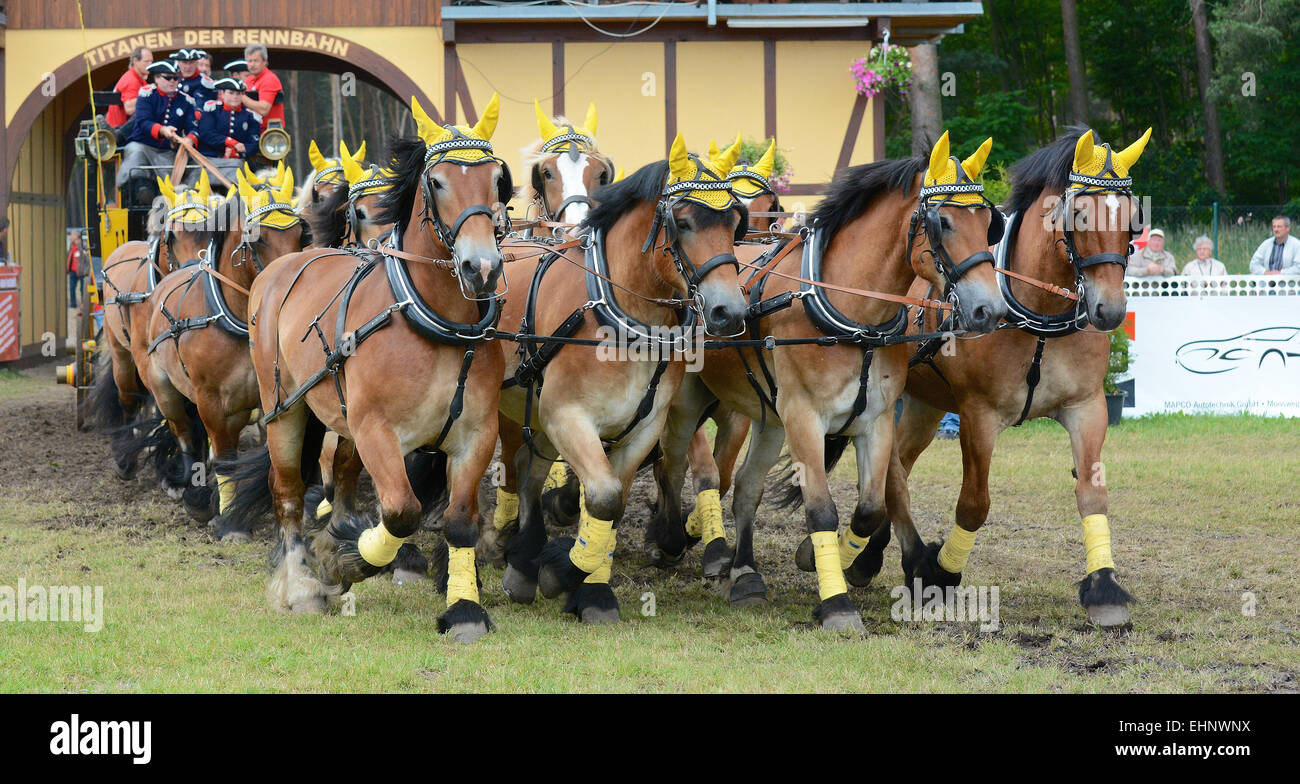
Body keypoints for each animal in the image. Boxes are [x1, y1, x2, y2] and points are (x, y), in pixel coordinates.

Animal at [139, 168, 307, 537]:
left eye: (301, 233)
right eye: (257, 238)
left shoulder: (267, 398)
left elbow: (273, 457)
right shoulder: (209, 399)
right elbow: (225, 457)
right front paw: (228, 519)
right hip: (164, 388)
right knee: (185, 435)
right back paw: (194, 491)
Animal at [227, 95, 510, 643]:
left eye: (496, 178)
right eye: (437, 181)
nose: (482, 268)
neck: (433, 318)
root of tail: (281, 269)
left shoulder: (477, 432)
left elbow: (459, 520)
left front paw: (464, 609)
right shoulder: (377, 428)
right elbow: (402, 511)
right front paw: (346, 560)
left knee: (338, 482)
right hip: (284, 411)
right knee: (288, 494)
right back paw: (302, 586)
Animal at [490, 133, 749, 624]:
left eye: (733, 223)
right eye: (683, 222)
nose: (731, 311)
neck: (624, 319)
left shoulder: (644, 426)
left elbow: (614, 502)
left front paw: (592, 590)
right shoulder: (566, 415)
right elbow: (606, 496)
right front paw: (563, 573)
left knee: (531, 469)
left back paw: (523, 561)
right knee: (514, 468)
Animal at [653, 132, 1009, 631]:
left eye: (988, 223)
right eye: (943, 222)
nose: (989, 310)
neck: (855, 317)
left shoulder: (875, 419)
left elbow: (870, 507)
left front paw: (825, 559)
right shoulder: (804, 418)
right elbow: (821, 511)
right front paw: (837, 602)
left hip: (767, 415)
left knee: (746, 486)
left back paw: (745, 573)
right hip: (688, 401)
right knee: (672, 462)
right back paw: (668, 537)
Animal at [861, 127, 1150, 628]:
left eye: (1132, 219)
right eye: (1078, 213)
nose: (1110, 310)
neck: (1039, 316)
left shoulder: (1087, 407)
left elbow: (1092, 493)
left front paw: (1104, 587)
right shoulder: (978, 415)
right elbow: (974, 504)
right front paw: (943, 572)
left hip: (924, 405)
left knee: (899, 462)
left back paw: (865, 554)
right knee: (889, 470)